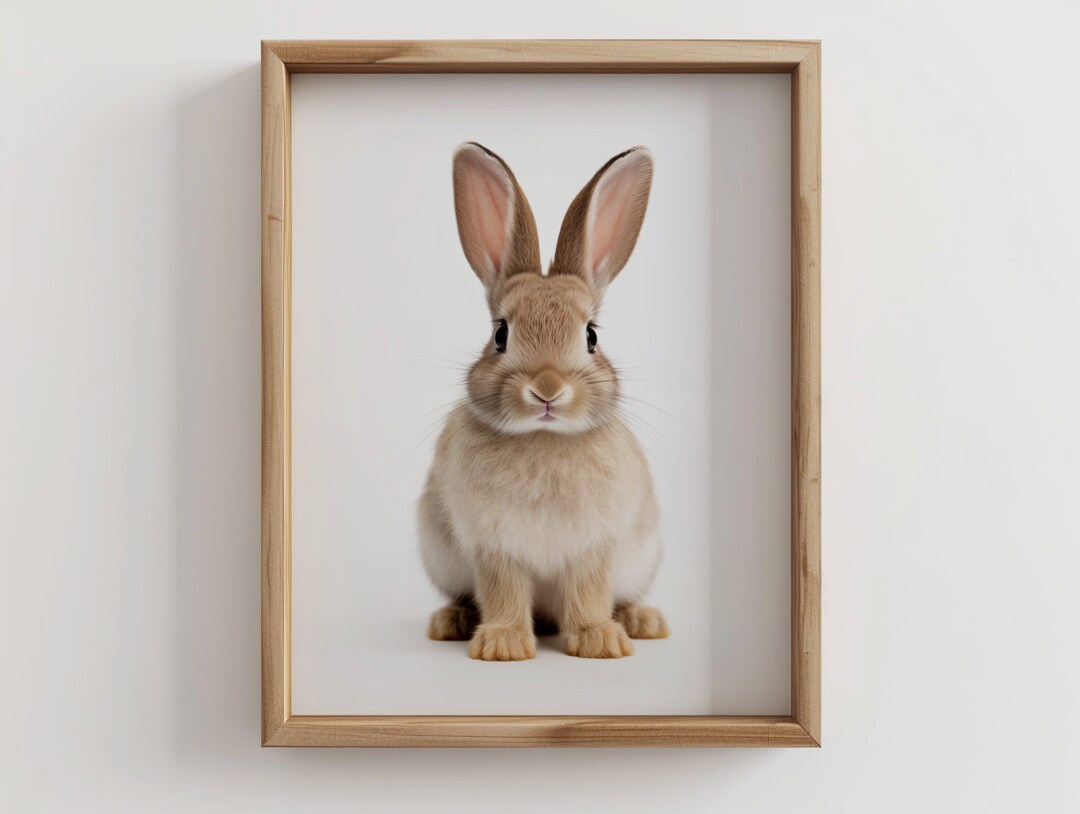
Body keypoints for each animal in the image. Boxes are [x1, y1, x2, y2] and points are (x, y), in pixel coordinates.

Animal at [417, 142, 668, 660]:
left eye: (591, 336)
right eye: (500, 334)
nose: (548, 389)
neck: (544, 438)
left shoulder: (595, 547)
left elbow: (589, 592)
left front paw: (599, 642)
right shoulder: (494, 549)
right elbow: (504, 593)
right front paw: (503, 646)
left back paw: (642, 620)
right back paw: (451, 621)